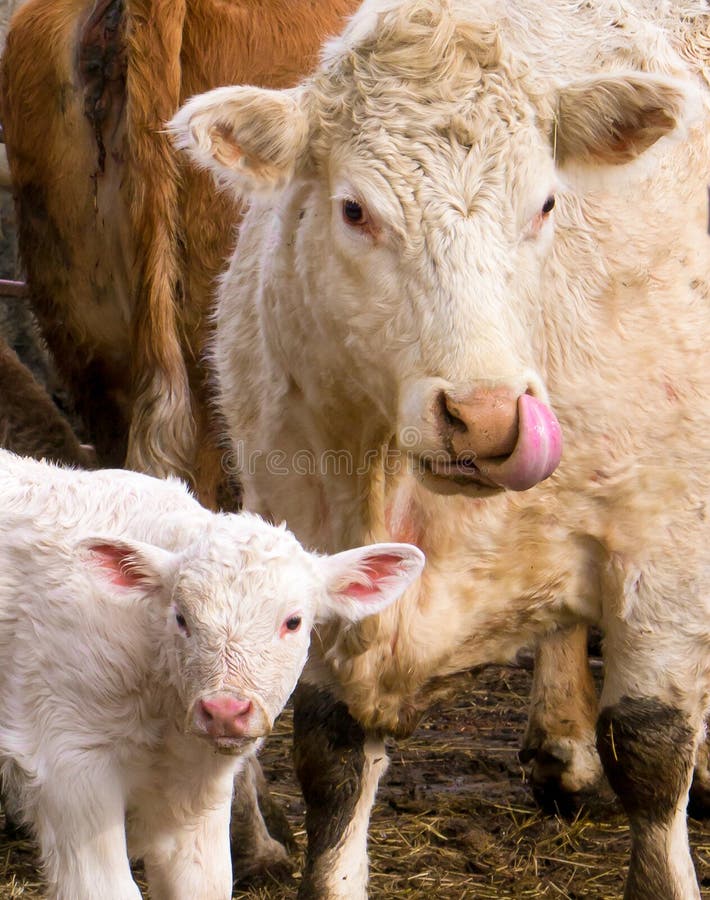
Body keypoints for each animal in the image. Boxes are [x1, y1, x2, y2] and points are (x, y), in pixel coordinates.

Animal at [0, 449, 423, 899]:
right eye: (181, 618)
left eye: (293, 622)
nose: (224, 710)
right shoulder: (70, 763)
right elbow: (107, 889)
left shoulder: (197, 788)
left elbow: (205, 882)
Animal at [170, 0, 710, 896]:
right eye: (355, 210)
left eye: (547, 205)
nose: (487, 418)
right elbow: (331, 765)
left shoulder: (665, 548)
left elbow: (649, 749)